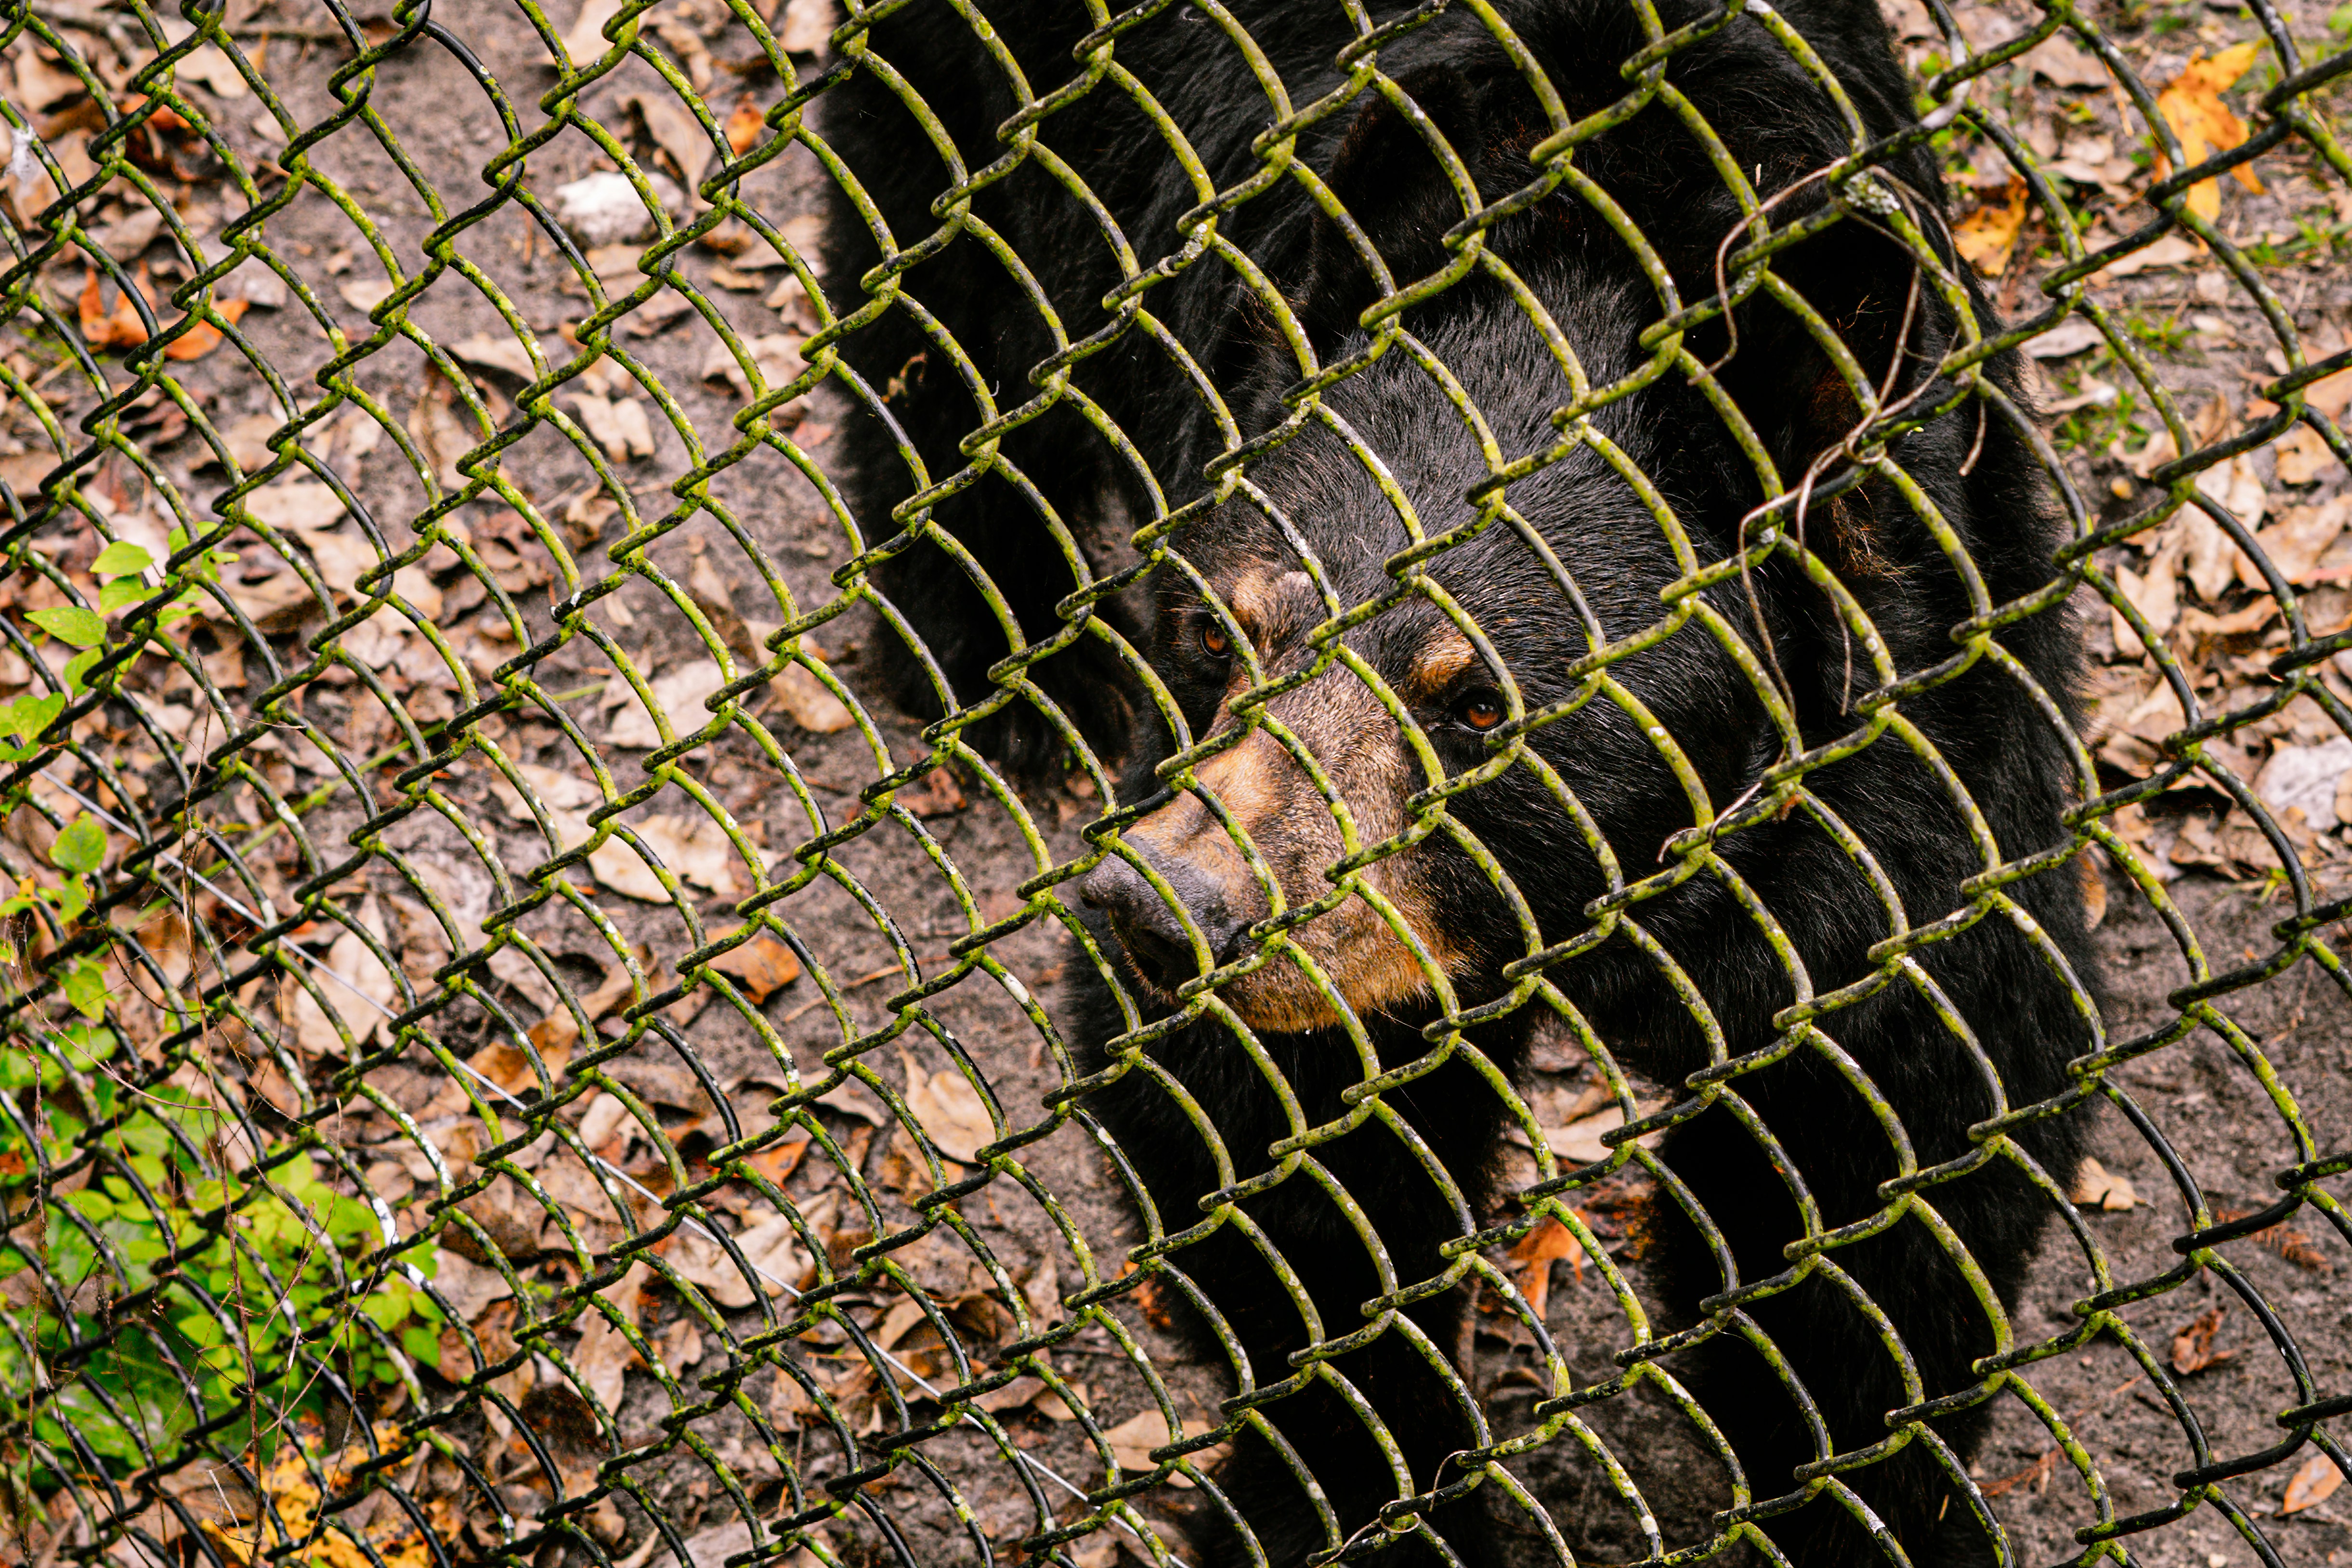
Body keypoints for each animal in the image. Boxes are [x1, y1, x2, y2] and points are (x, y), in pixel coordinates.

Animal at [817, 0, 2097, 1564]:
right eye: (1221, 631)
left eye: (1475, 700)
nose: (1168, 906)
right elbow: (1281, 1167)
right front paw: (1351, 1500)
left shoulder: (1905, 796)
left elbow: (1898, 1150)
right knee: (938, 253)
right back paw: (979, 633)